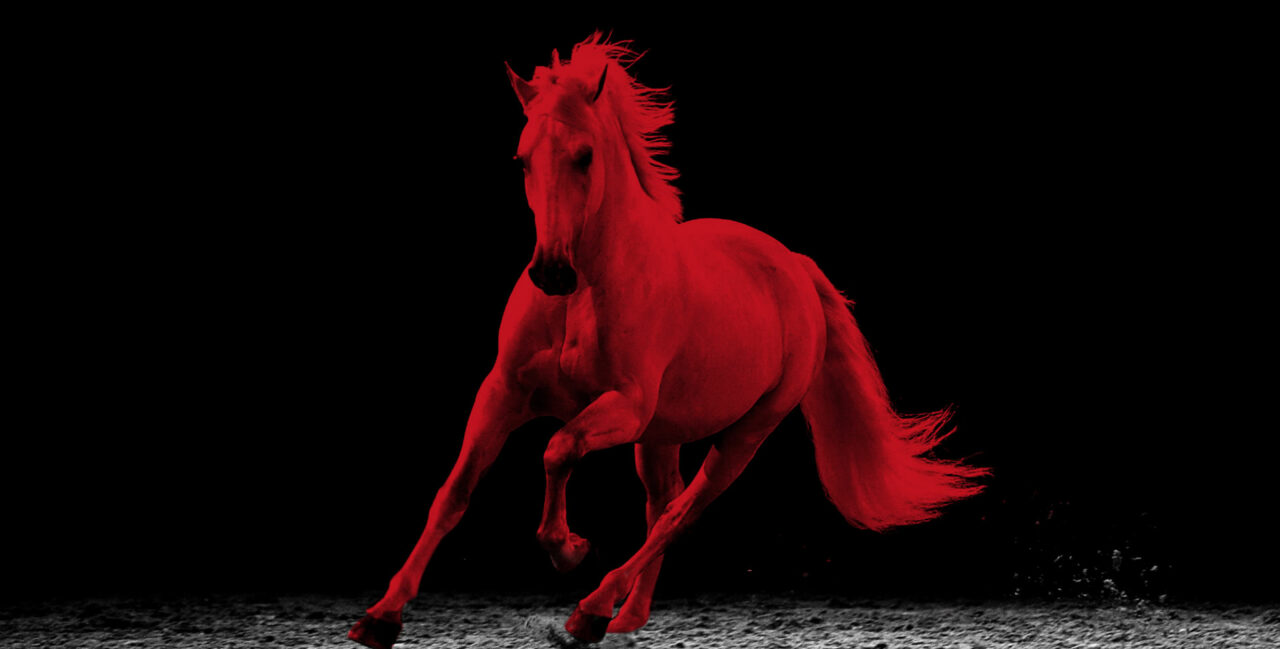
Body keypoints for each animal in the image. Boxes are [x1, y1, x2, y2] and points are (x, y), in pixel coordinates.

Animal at [349, 33, 987, 648]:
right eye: (521, 159)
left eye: (584, 156)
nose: (551, 273)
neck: (586, 291)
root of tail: (793, 265)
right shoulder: (503, 394)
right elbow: (454, 491)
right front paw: (380, 618)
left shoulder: (624, 406)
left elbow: (557, 449)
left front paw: (568, 550)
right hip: (661, 435)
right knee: (662, 504)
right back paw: (625, 617)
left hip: (744, 433)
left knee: (682, 512)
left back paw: (590, 612)